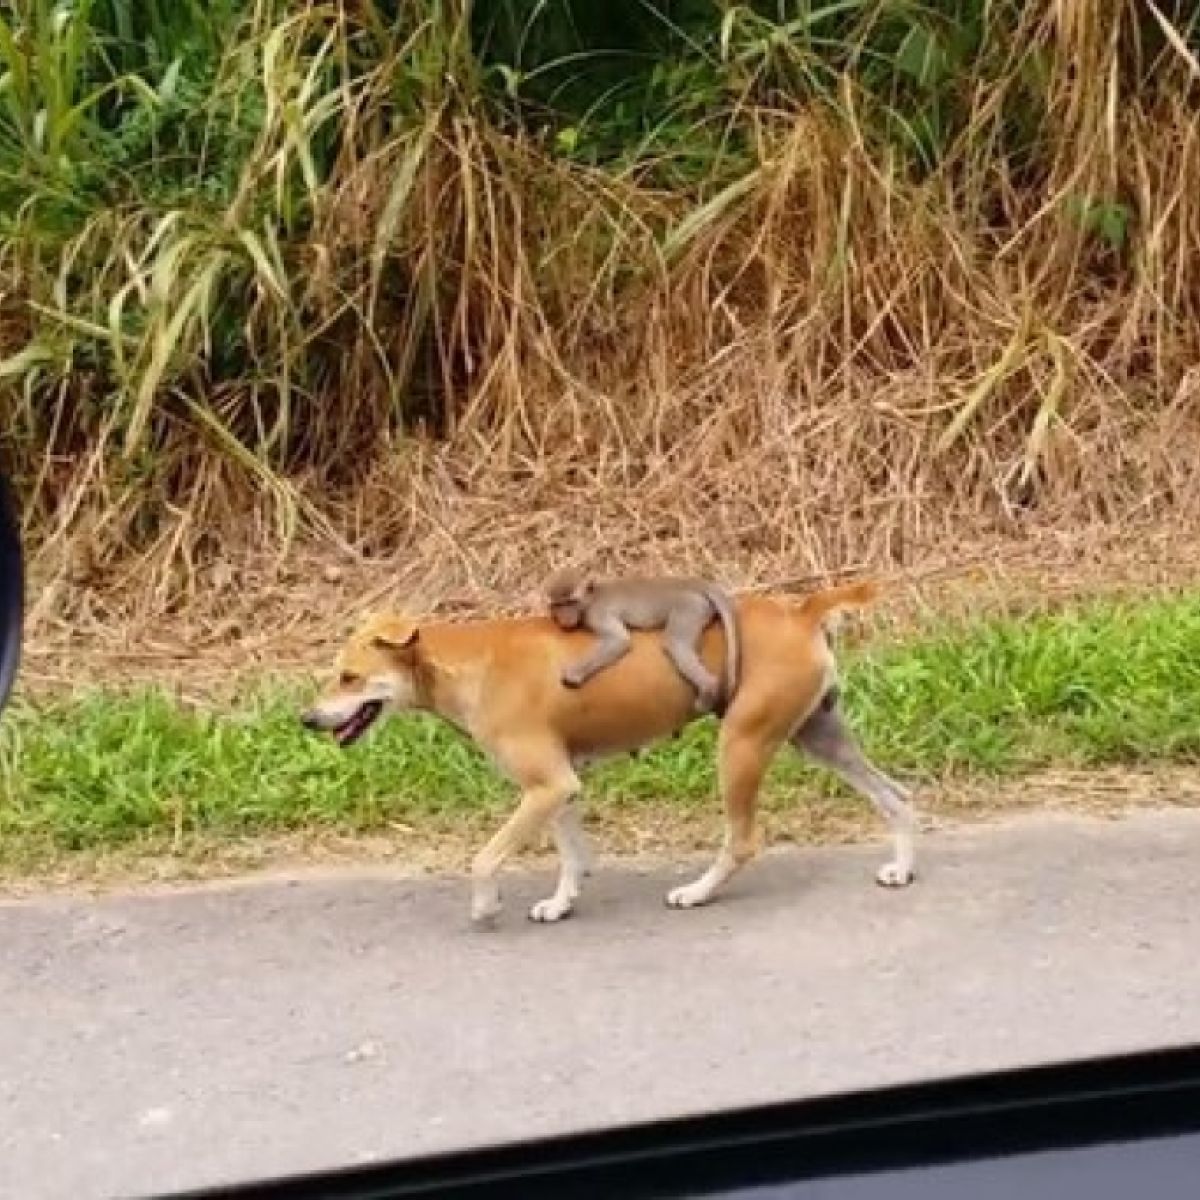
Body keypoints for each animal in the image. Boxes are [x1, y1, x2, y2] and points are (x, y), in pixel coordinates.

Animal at [544, 568, 742, 715]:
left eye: (571, 602)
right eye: (558, 605)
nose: (564, 617)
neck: (590, 598)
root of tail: (688, 581)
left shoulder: (597, 614)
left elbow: (619, 640)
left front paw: (573, 674)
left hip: (690, 606)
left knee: (676, 644)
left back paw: (708, 688)